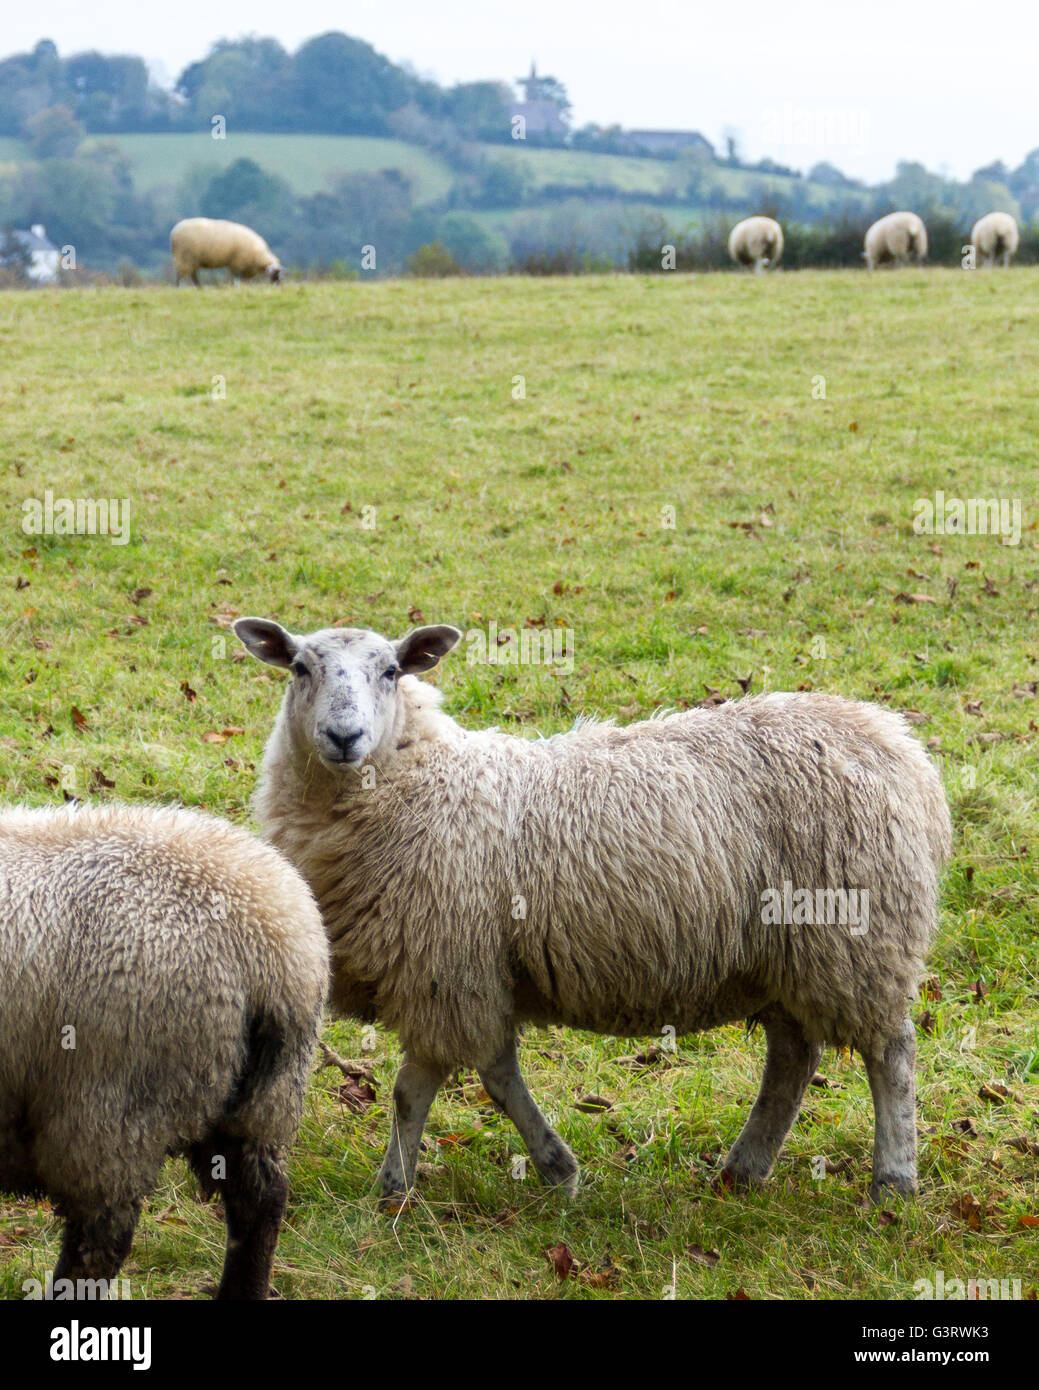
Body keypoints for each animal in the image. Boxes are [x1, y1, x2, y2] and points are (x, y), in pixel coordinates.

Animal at [234, 618, 951, 1211]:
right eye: (299, 667)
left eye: (391, 670)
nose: (343, 736)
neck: (417, 778)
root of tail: (899, 747)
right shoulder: (473, 971)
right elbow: (498, 1076)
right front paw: (558, 1170)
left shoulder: (443, 969)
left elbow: (415, 1090)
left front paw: (392, 1190)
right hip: (783, 954)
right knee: (793, 1058)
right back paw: (742, 1171)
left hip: (856, 937)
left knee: (890, 1051)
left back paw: (892, 1182)